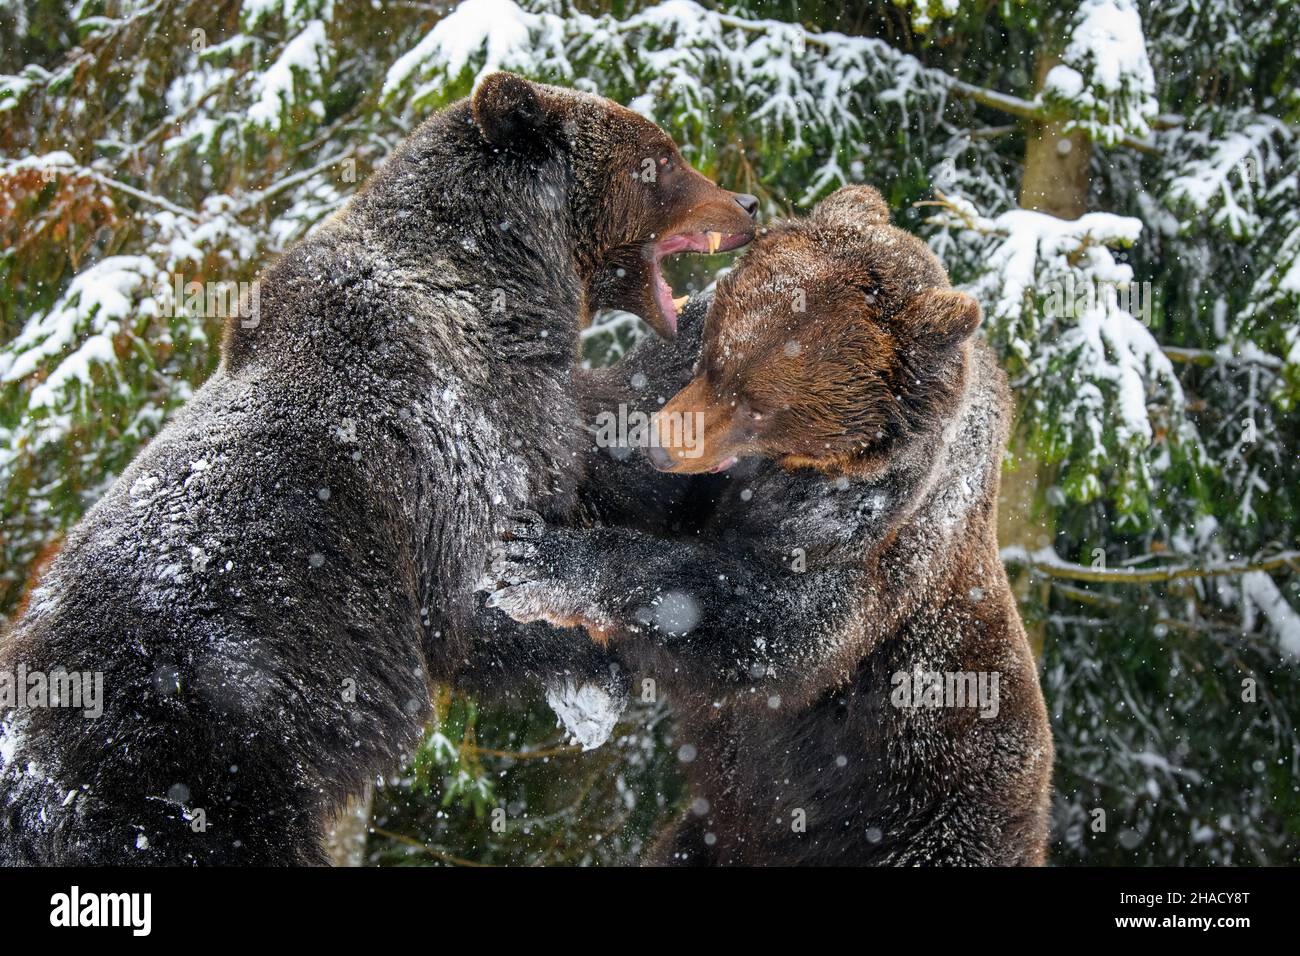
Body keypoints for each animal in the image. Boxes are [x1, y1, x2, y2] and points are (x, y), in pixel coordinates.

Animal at [0, 72, 756, 865]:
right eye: (662, 159)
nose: (747, 203)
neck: (503, 292)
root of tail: (28, 774)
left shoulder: (525, 406)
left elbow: (602, 441)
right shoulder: (438, 441)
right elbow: (476, 596)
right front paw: (605, 659)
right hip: (191, 770)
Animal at [483, 185, 1055, 865]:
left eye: (760, 407)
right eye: (713, 357)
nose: (660, 446)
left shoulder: (871, 534)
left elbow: (774, 624)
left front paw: (539, 562)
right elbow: (615, 426)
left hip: (923, 815)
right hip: (714, 830)